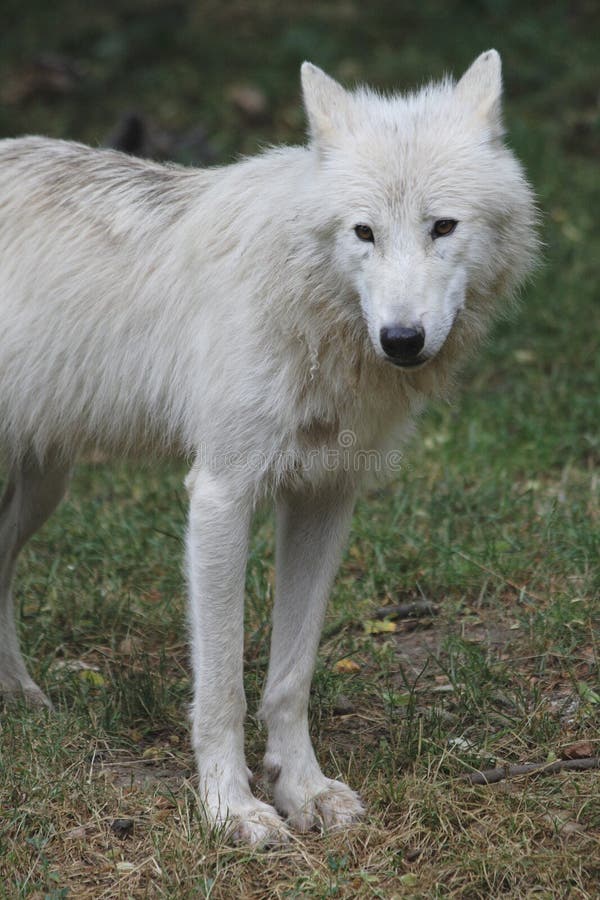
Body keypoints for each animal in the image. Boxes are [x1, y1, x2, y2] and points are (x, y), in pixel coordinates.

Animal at [0, 51, 536, 844]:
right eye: (364, 232)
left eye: (443, 226)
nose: (402, 339)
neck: (311, 317)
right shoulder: (222, 495)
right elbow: (222, 683)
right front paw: (231, 807)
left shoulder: (324, 498)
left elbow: (291, 675)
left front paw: (303, 791)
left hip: (45, 487)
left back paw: (19, 695)